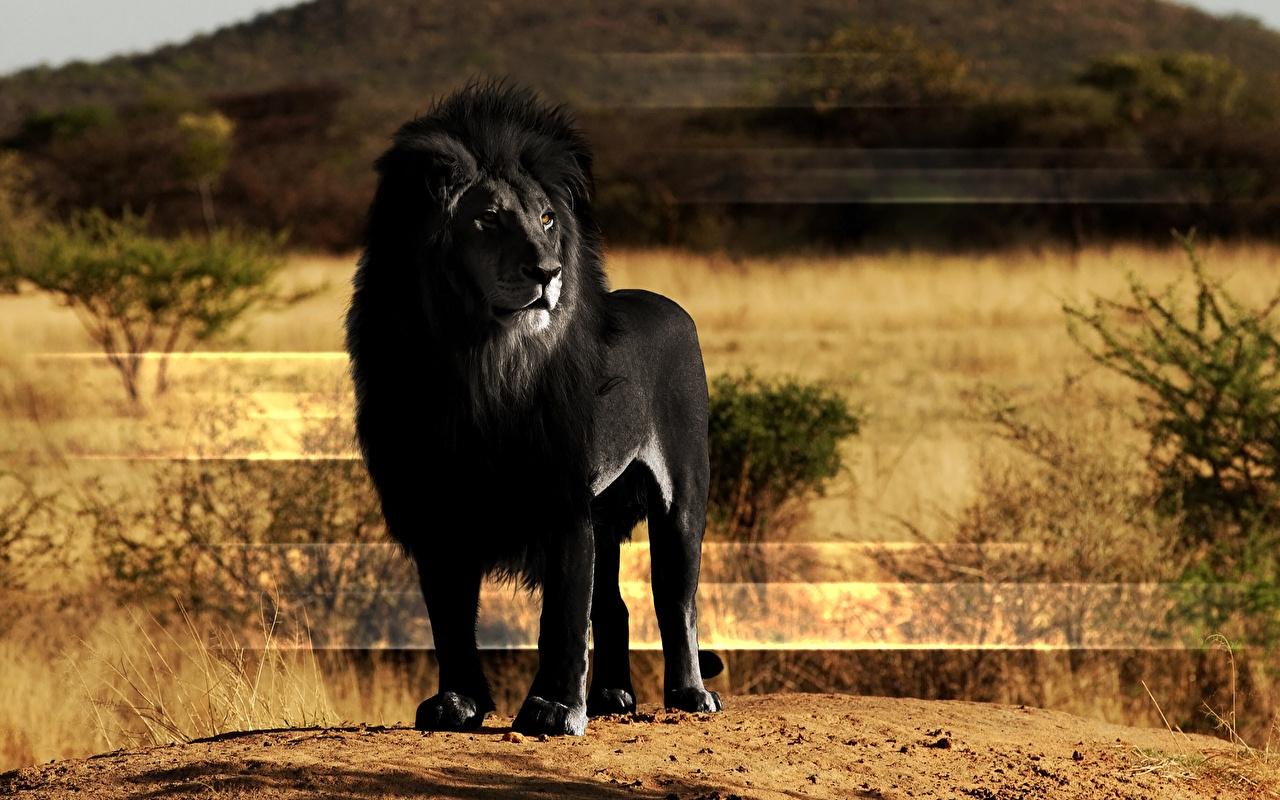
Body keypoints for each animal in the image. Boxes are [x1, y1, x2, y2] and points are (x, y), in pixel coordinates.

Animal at [344, 84, 722, 737]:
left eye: (547, 219)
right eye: (489, 219)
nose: (548, 271)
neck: (479, 363)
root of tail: (670, 305)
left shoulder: (562, 495)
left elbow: (562, 617)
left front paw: (552, 709)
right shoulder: (434, 505)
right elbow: (449, 617)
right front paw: (458, 704)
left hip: (681, 493)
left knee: (676, 598)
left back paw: (688, 694)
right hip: (607, 512)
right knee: (615, 605)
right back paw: (612, 697)